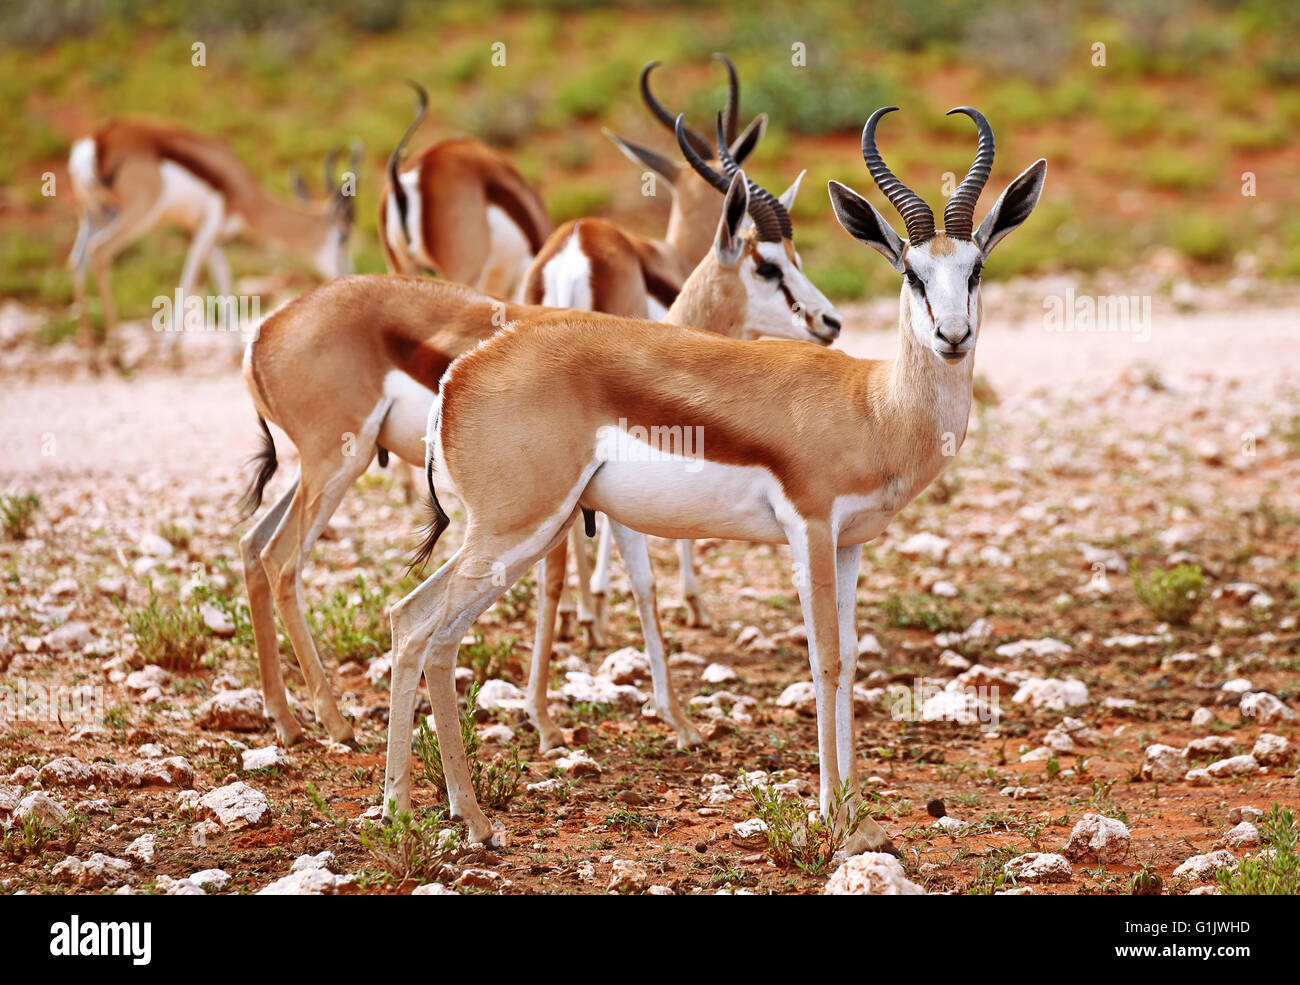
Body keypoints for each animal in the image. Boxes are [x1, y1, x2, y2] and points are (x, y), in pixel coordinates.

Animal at [67, 118, 357, 365]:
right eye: (343, 237)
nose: (348, 277)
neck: (240, 188)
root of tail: (100, 140)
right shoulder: (208, 227)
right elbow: (190, 275)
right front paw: (171, 351)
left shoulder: (214, 237)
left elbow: (224, 280)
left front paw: (236, 350)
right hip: (135, 216)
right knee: (99, 252)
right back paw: (116, 355)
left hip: (95, 216)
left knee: (78, 261)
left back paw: (92, 360)